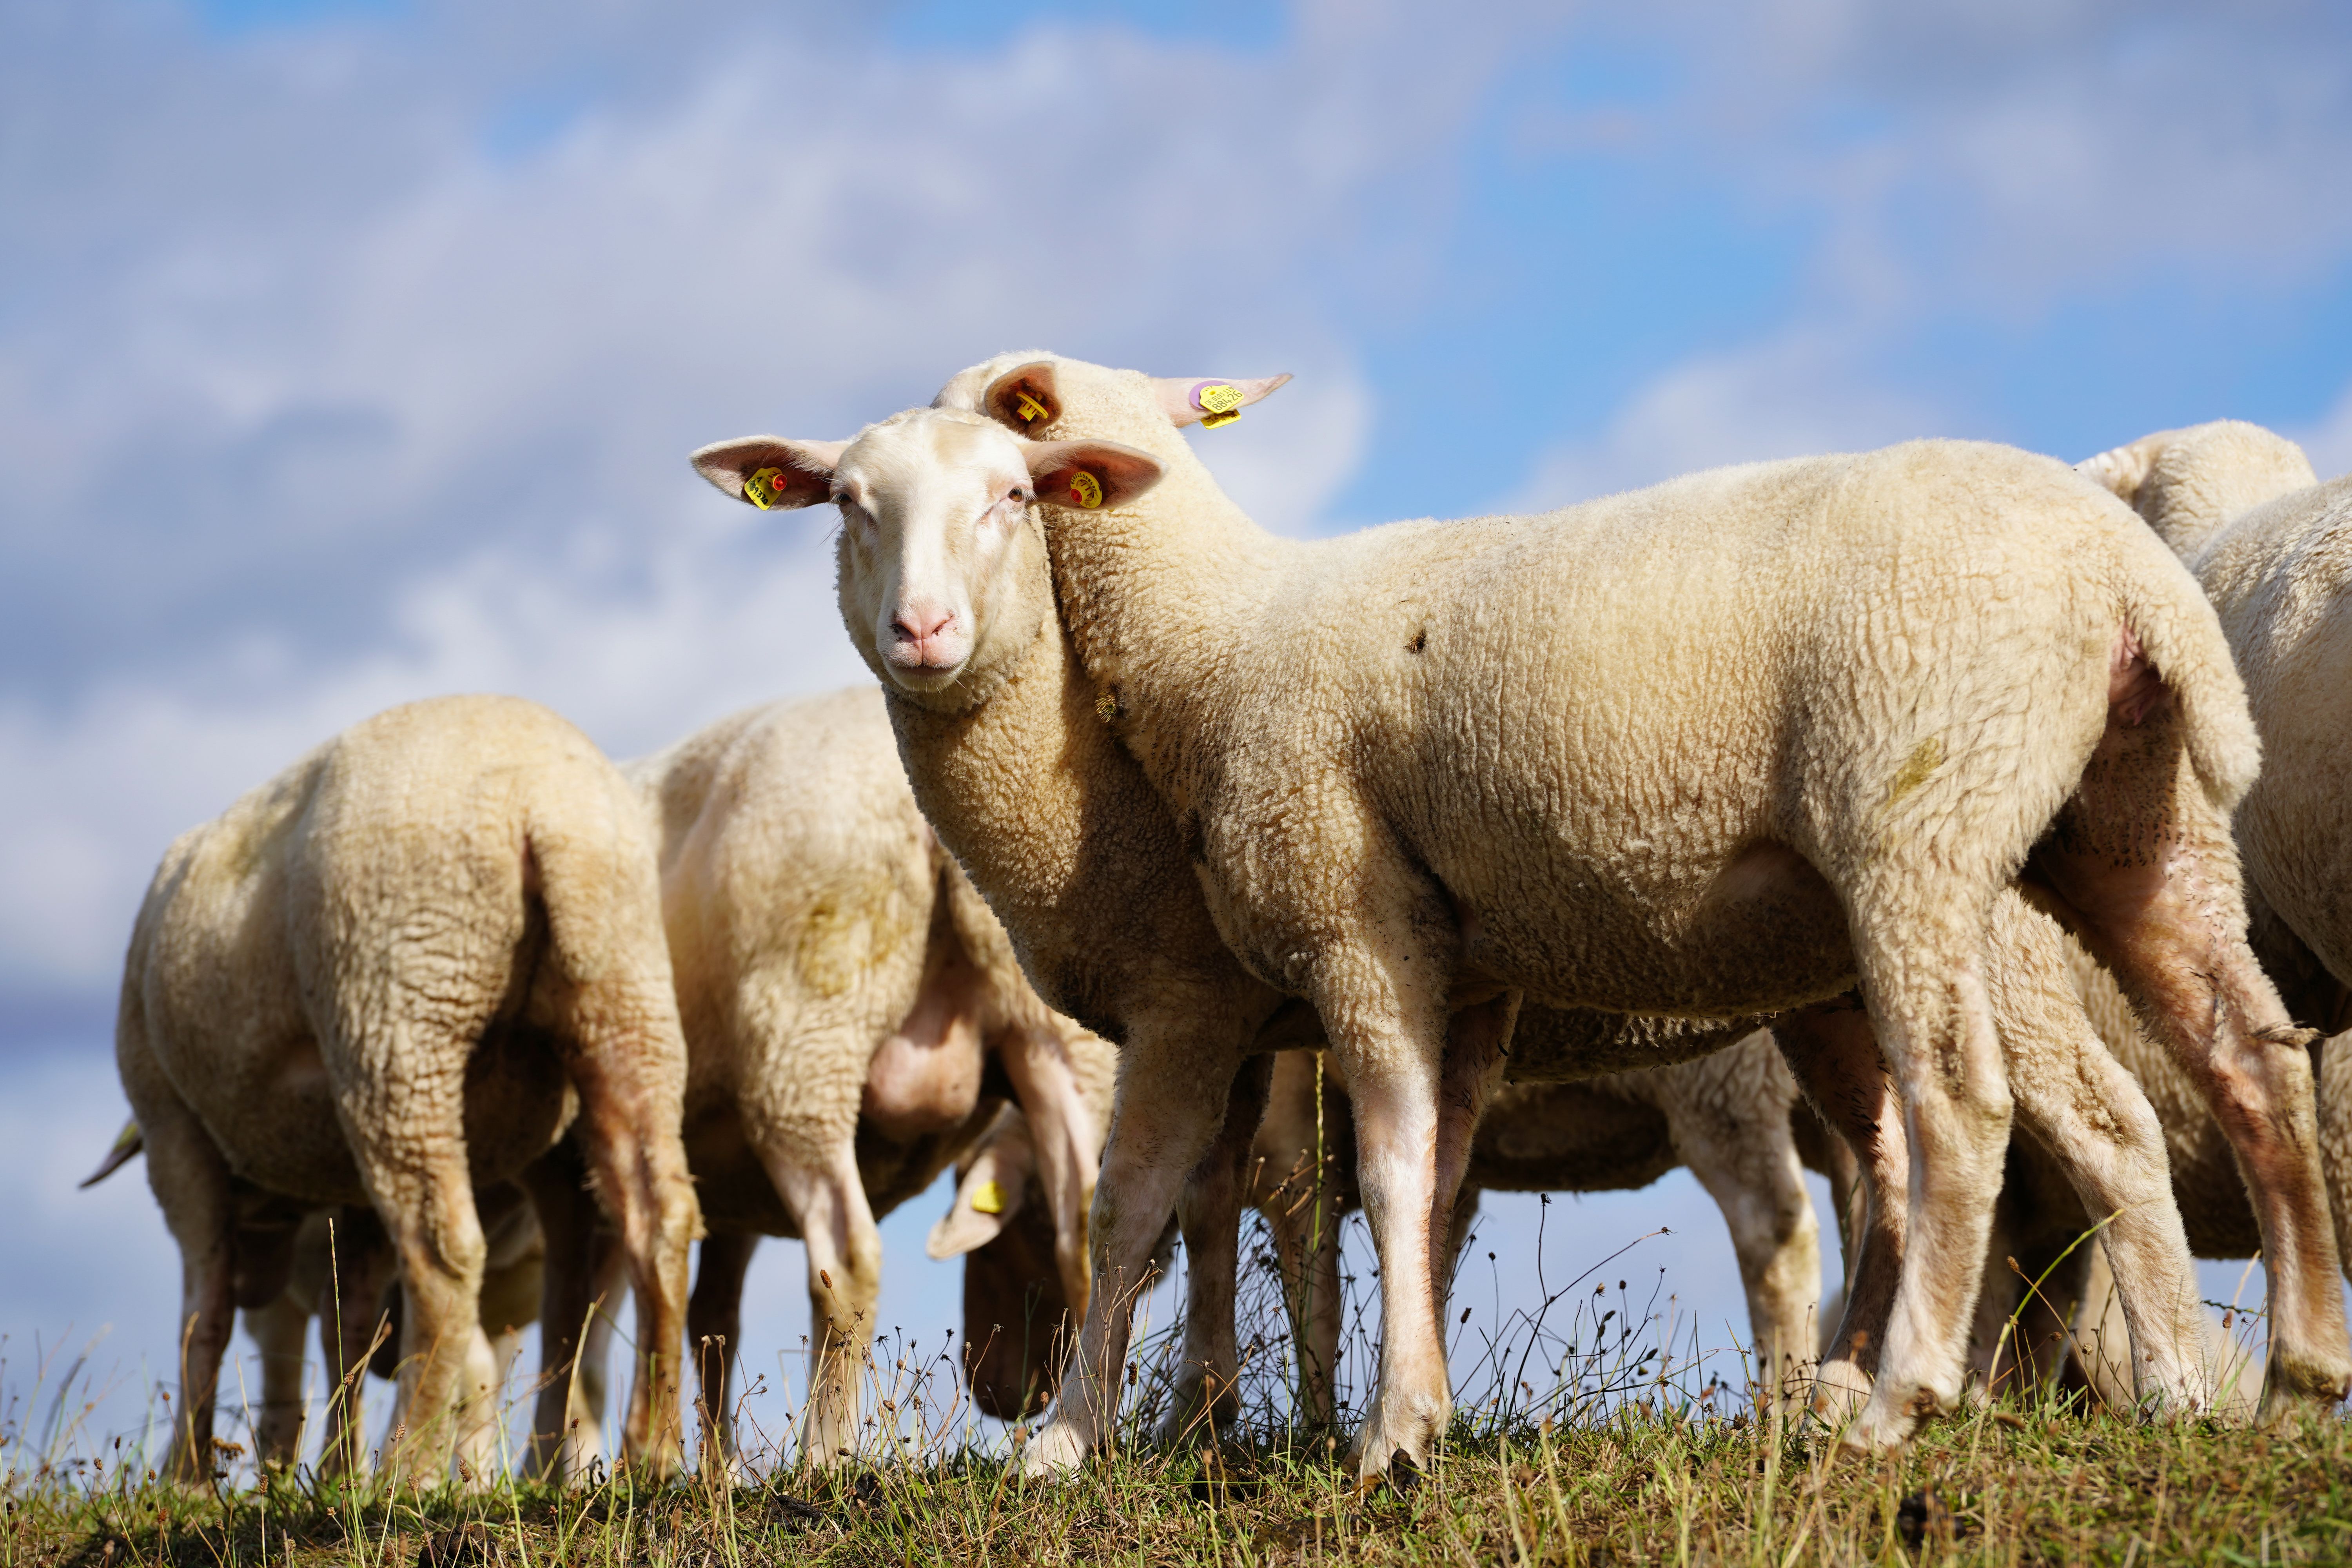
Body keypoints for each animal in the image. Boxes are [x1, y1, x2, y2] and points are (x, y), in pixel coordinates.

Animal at [115, 694, 699, 1483]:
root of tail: (546, 807)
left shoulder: (172, 1125)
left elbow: (203, 1306)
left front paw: (188, 1475)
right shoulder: (342, 1188)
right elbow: (350, 1320)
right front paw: (332, 1468)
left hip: (396, 1015)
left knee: (442, 1251)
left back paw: (406, 1465)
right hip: (624, 996)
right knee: (659, 1213)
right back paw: (653, 1449)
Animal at [537, 688, 1117, 1469]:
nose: (1006, 1394)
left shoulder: (567, 1172)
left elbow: (575, 1317)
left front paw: (559, 1463)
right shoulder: (725, 1186)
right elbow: (707, 1316)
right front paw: (714, 1468)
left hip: (804, 1037)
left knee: (845, 1254)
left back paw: (824, 1453)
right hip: (1048, 1034)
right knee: (1081, 1215)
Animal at [689, 356, 2345, 1476]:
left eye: (1012, 488)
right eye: (848, 504)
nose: (921, 632)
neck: (1211, 636)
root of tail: (2132, 574)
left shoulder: (1288, 958)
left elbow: (1181, 1201)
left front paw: (1133, 1440)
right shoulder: (1437, 969)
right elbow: (1394, 1192)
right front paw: (1284, 1419)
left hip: (1924, 834)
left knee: (2002, 1113)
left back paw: (1930, 1394)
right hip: (2120, 836)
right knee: (2236, 1060)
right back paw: (2288, 1370)